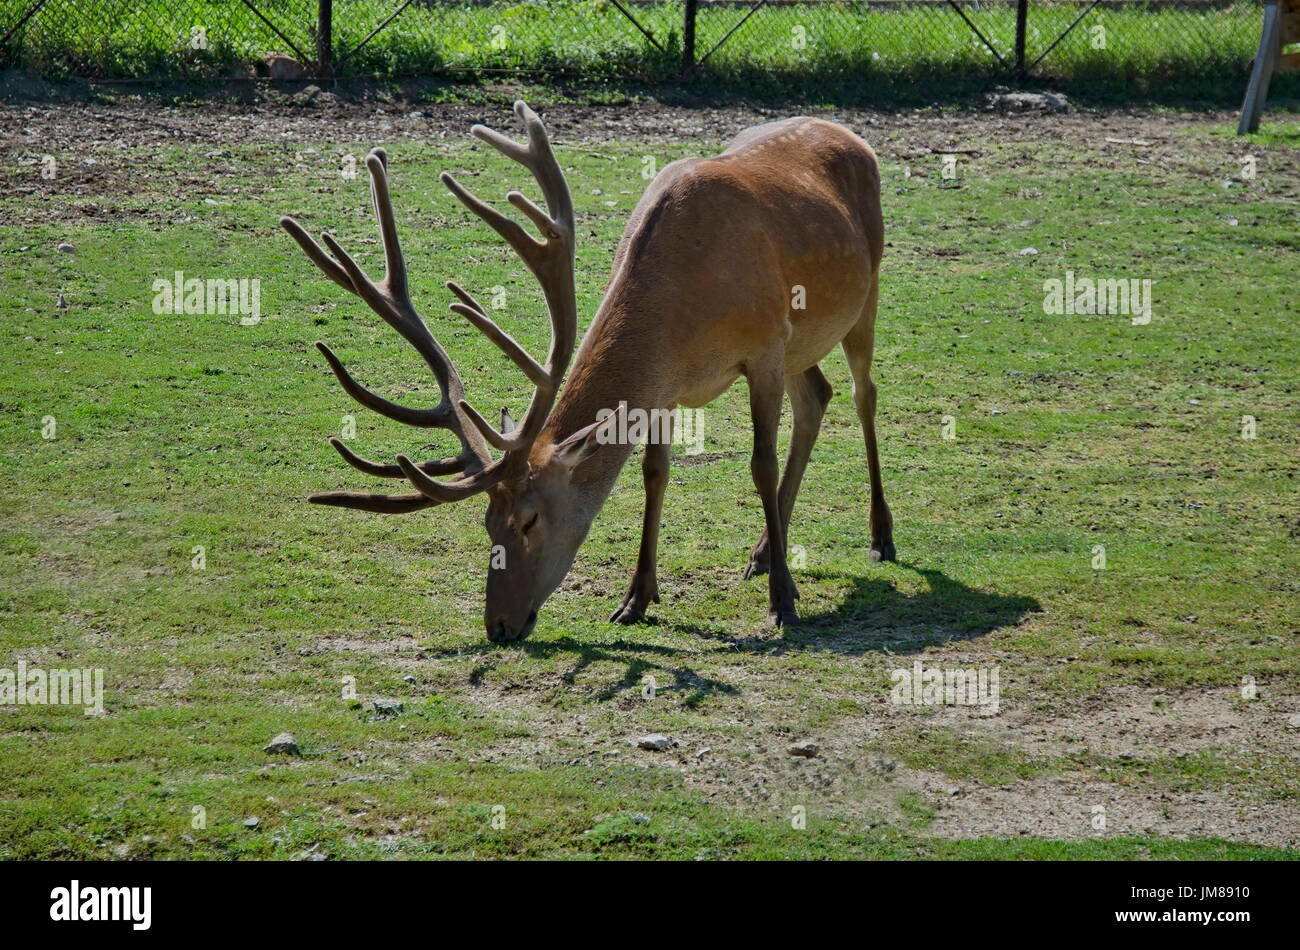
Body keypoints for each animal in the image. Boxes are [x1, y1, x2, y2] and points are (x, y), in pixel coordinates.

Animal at [280, 101, 892, 643]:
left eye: (530, 521)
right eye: (486, 525)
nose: (498, 626)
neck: (685, 311)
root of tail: (851, 134)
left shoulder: (764, 348)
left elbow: (759, 465)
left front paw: (784, 602)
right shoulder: (667, 387)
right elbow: (653, 472)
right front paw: (636, 598)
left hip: (862, 293)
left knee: (863, 392)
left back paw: (879, 536)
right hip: (804, 342)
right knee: (817, 396)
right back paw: (765, 550)